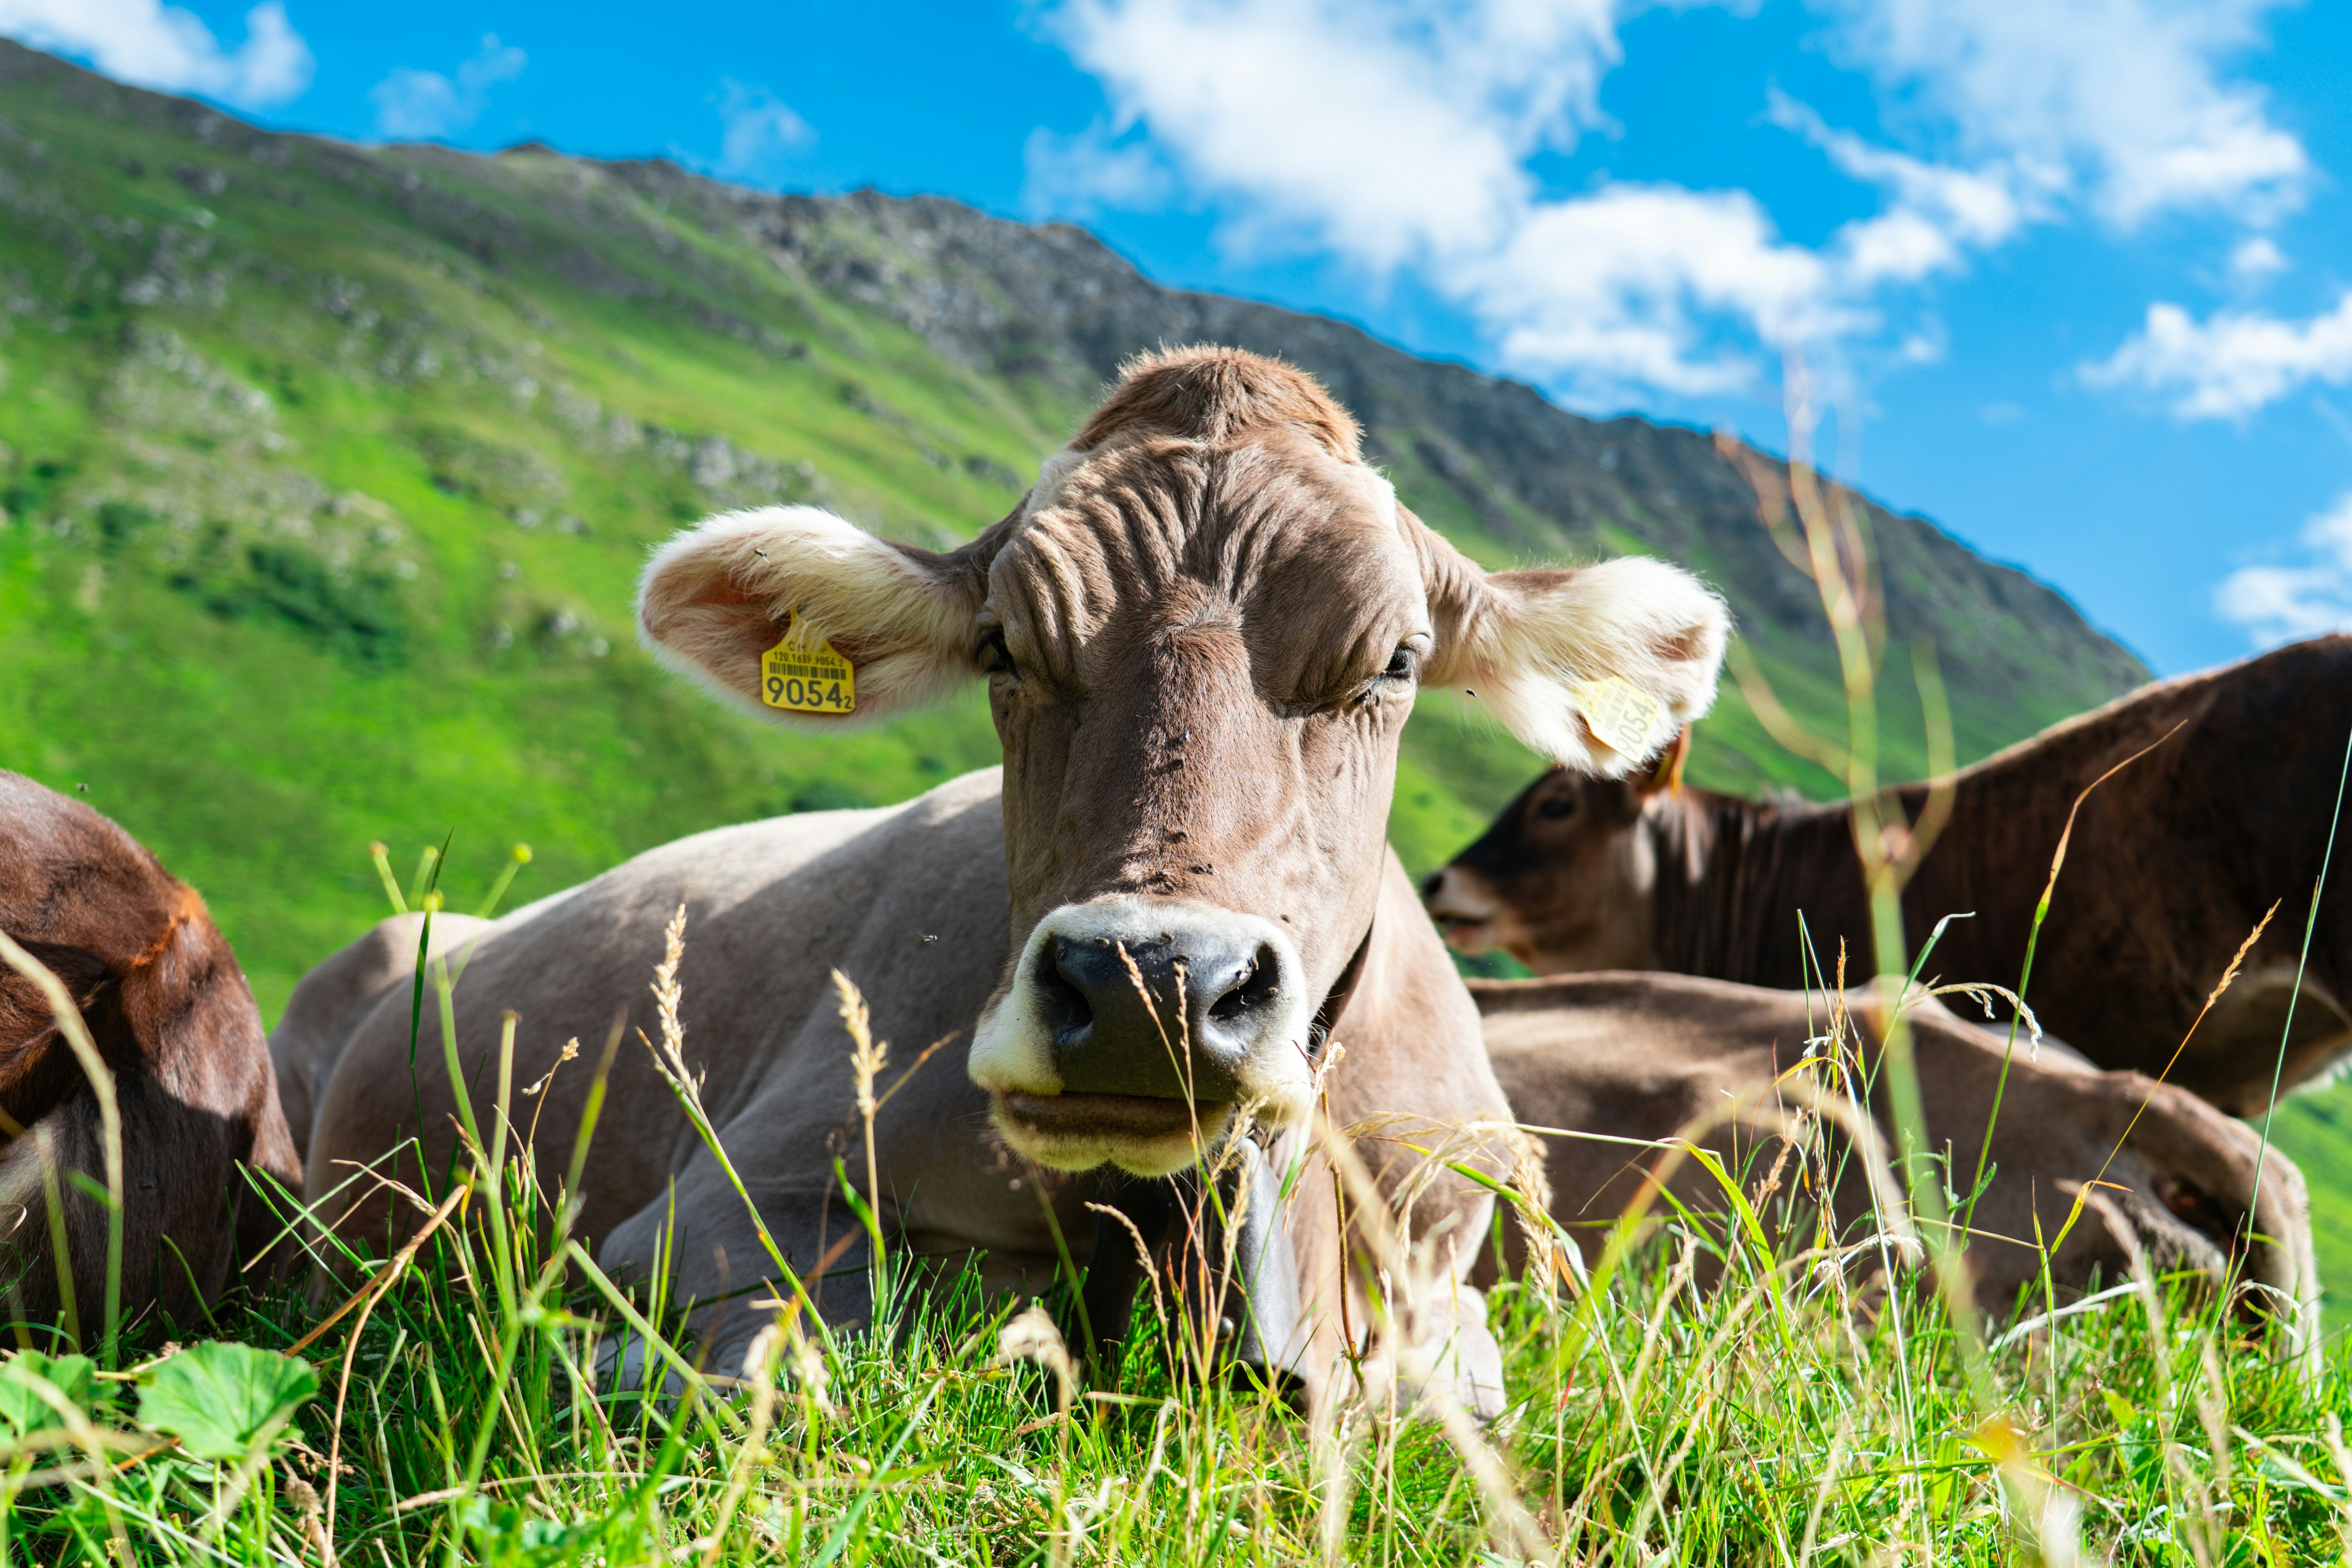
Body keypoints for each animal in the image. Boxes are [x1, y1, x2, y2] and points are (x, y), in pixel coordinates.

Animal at [280, 347, 1731, 1411]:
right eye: (1002, 647)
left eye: (1394, 660)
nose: (1152, 982)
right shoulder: (716, 1205)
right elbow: (840, 1340)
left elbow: (1452, 1377)